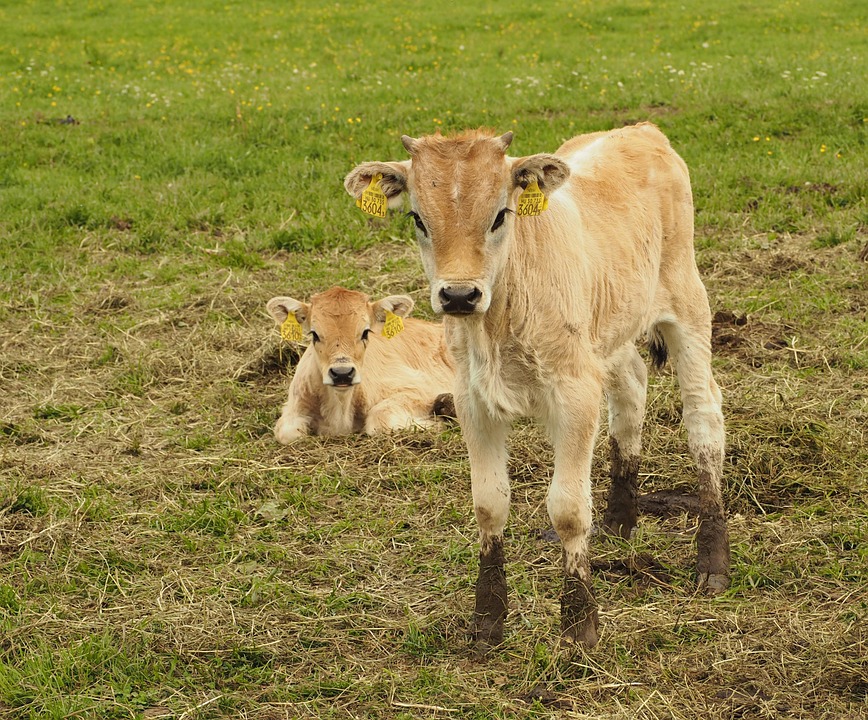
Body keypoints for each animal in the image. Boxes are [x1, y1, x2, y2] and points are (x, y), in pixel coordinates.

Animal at [266, 286, 455, 442]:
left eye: (365, 332)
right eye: (314, 334)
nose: (342, 373)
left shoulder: (420, 389)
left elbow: (379, 419)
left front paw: (437, 422)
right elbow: (287, 433)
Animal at [344, 123, 730, 653]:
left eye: (500, 215)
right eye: (419, 219)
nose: (459, 295)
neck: (500, 318)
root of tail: (640, 129)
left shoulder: (575, 393)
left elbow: (567, 509)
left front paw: (579, 624)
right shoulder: (472, 402)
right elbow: (489, 505)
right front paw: (487, 620)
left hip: (687, 302)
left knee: (703, 415)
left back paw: (712, 560)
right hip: (609, 330)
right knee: (631, 388)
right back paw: (618, 520)